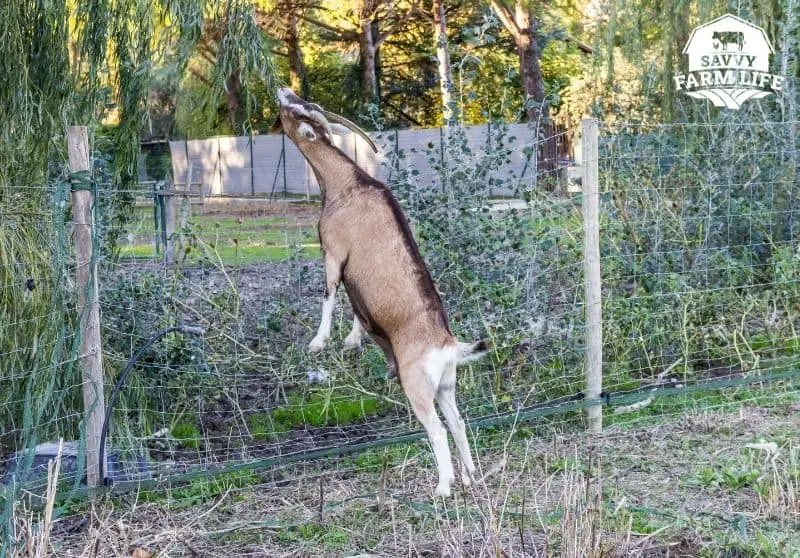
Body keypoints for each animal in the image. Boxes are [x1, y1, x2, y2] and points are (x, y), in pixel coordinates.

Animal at [275, 88, 489, 497]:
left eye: (296, 111)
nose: (284, 91)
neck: (348, 185)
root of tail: (447, 346)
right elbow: (354, 307)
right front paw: (351, 340)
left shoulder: (334, 251)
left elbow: (329, 292)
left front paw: (319, 343)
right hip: (445, 386)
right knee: (457, 422)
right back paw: (471, 477)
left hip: (417, 387)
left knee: (437, 429)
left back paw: (444, 487)